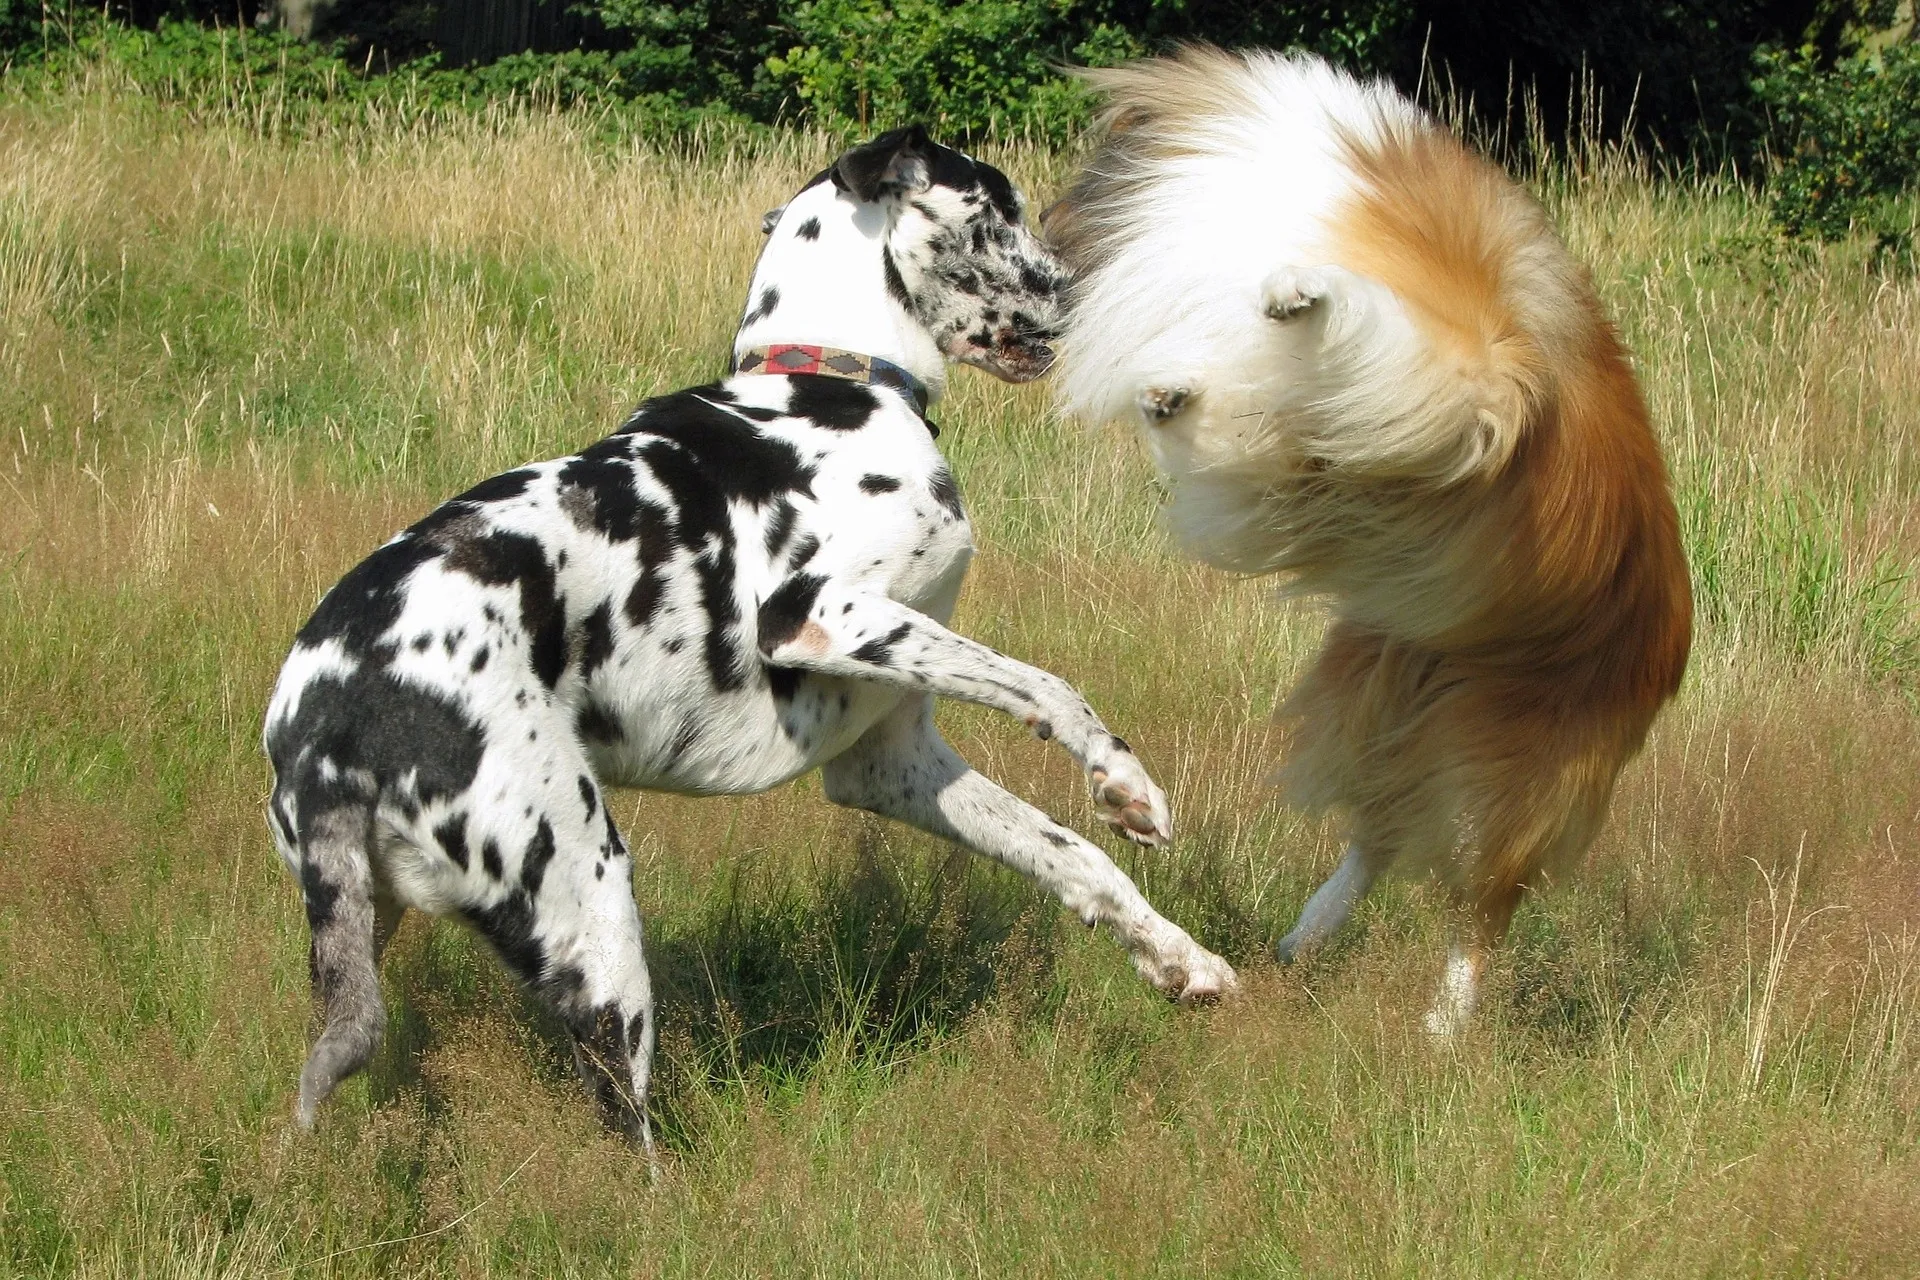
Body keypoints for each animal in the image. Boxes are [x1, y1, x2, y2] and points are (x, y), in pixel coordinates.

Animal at [263, 130, 1236, 1143]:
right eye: (999, 208)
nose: (1084, 290)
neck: (833, 380)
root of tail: (325, 723)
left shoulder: (891, 758)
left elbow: (1066, 852)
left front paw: (1174, 954)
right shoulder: (820, 613)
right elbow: (1048, 686)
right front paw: (1122, 780)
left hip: (368, 928)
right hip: (594, 908)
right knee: (623, 1127)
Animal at [1052, 45, 1697, 1036]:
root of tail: (1675, 650)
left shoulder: (1459, 383)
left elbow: (1352, 332)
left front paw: (1298, 297)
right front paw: (1175, 392)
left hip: (1505, 770)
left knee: (1482, 903)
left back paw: (1444, 1028)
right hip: (1382, 690)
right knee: (1378, 834)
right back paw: (1306, 935)